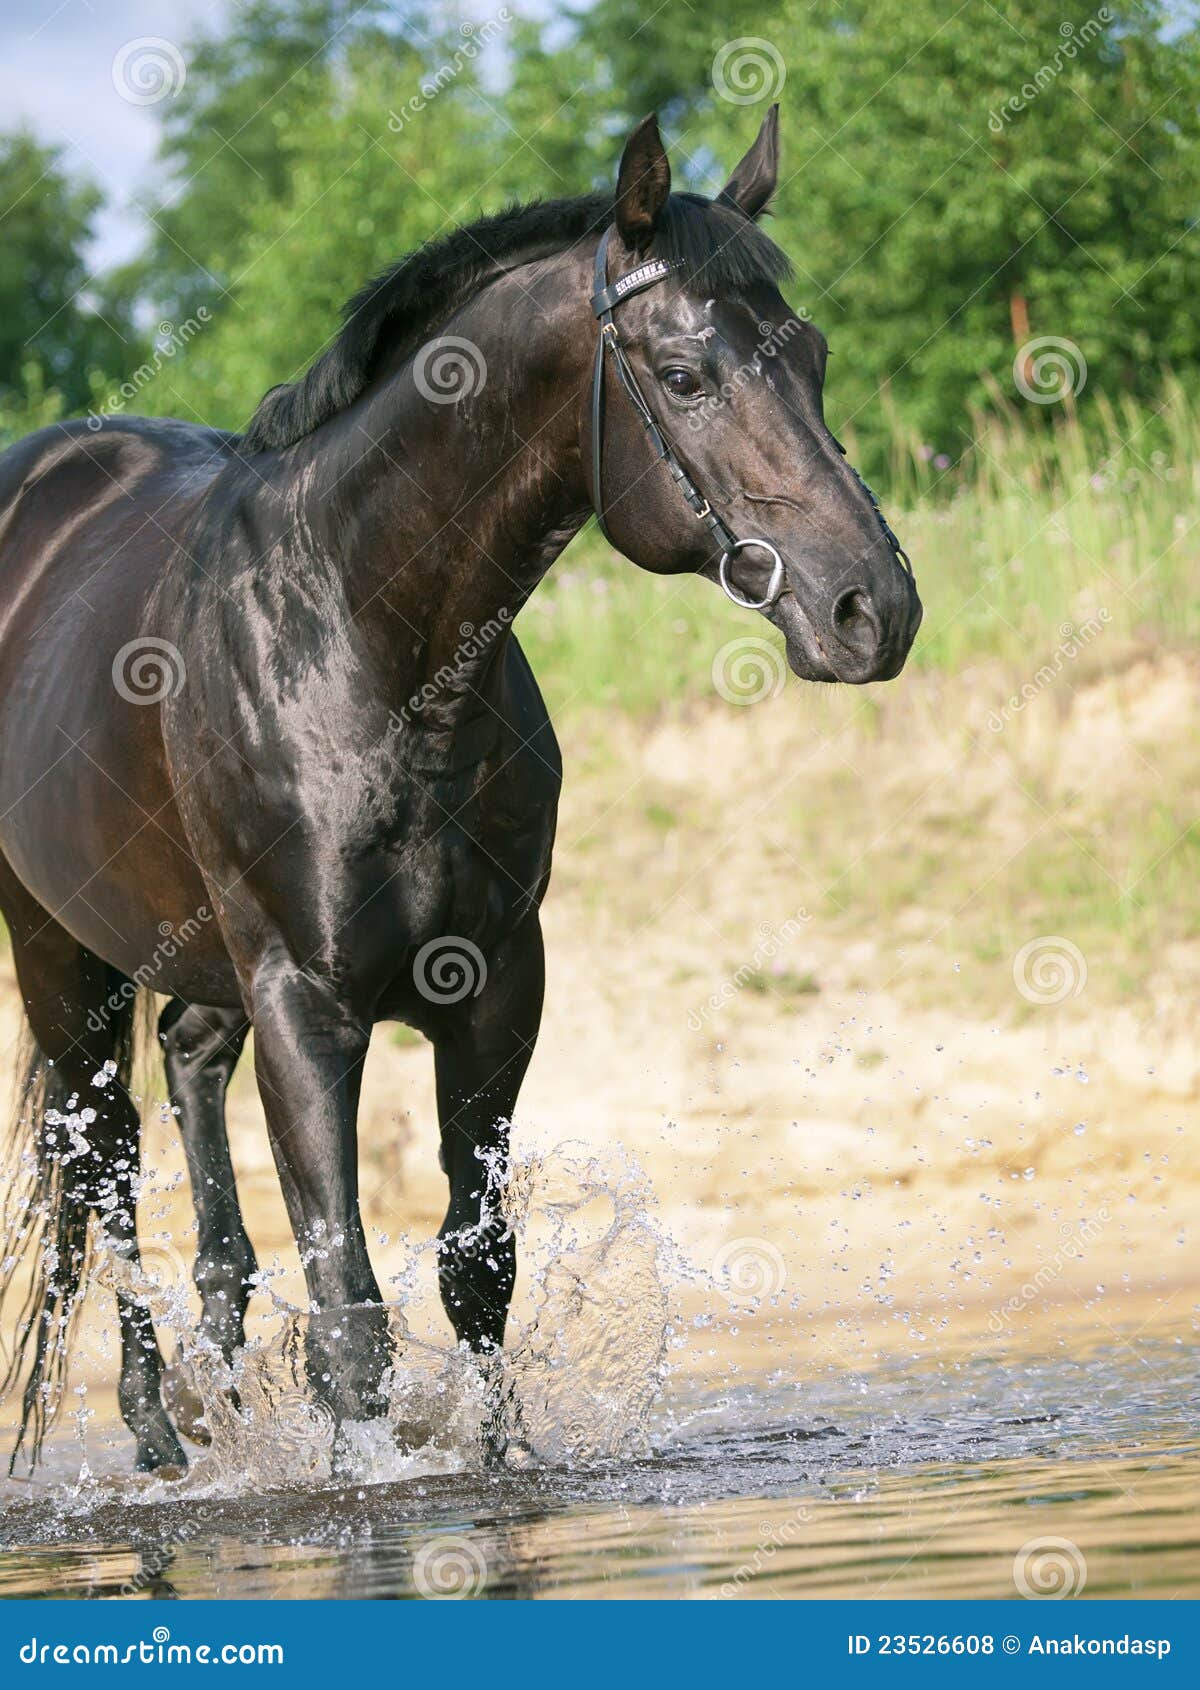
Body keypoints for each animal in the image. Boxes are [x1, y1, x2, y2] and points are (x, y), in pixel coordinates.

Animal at [0, 107, 920, 1471]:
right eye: (684, 375)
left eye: (809, 356)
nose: (873, 607)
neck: (368, 641)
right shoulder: (307, 1006)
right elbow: (350, 1317)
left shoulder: (495, 988)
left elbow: (475, 1271)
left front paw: (495, 1462)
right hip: (62, 960)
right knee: (101, 1169)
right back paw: (161, 1429)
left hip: (189, 949)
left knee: (190, 1083)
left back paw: (218, 1396)